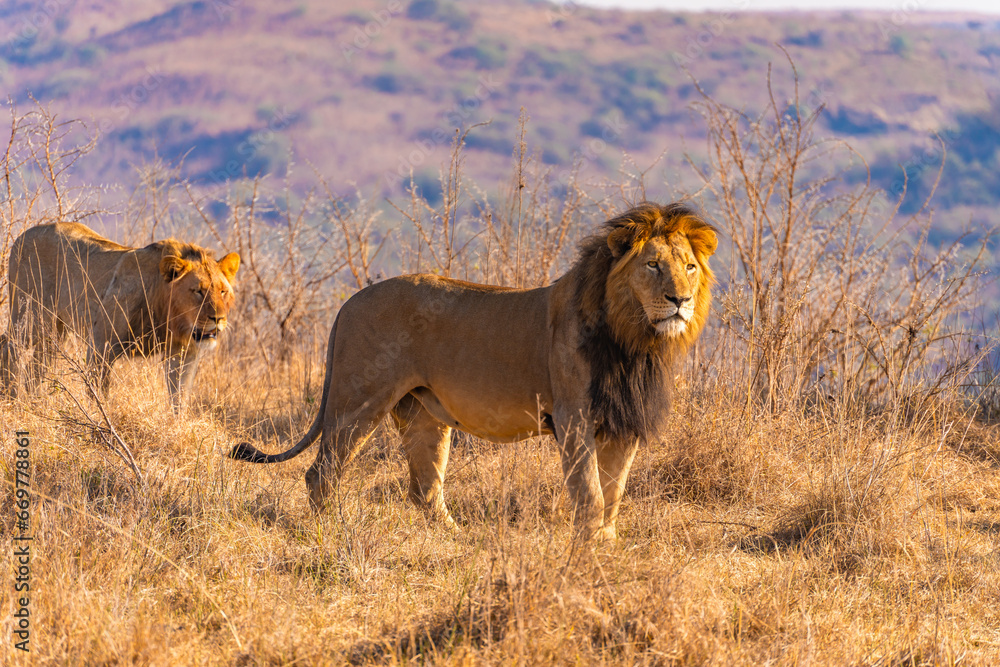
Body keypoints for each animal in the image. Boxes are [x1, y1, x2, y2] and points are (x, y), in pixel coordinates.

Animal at [0, 222, 240, 408]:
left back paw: (35, 403)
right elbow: (98, 392)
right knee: (10, 346)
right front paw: (100, 422)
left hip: (55, 330)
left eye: (222, 291)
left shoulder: (183, 352)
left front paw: (178, 426)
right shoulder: (101, 343)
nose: (218, 319)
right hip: (30, 316)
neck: (169, 314)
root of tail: (22, 236)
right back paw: (10, 399)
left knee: (39, 362)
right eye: (198, 291)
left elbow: (178, 396)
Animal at [230, 203, 716, 540]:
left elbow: (614, 493)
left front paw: (607, 545)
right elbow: (592, 493)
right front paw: (589, 548)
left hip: (423, 415)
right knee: (323, 472)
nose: (680, 300)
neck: (636, 342)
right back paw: (331, 530)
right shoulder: (573, 416)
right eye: (652, 265)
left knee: (424, 489)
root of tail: (348, 302)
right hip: (358, 402)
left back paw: (458, 539)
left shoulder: (622, 422)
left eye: (689, 267)